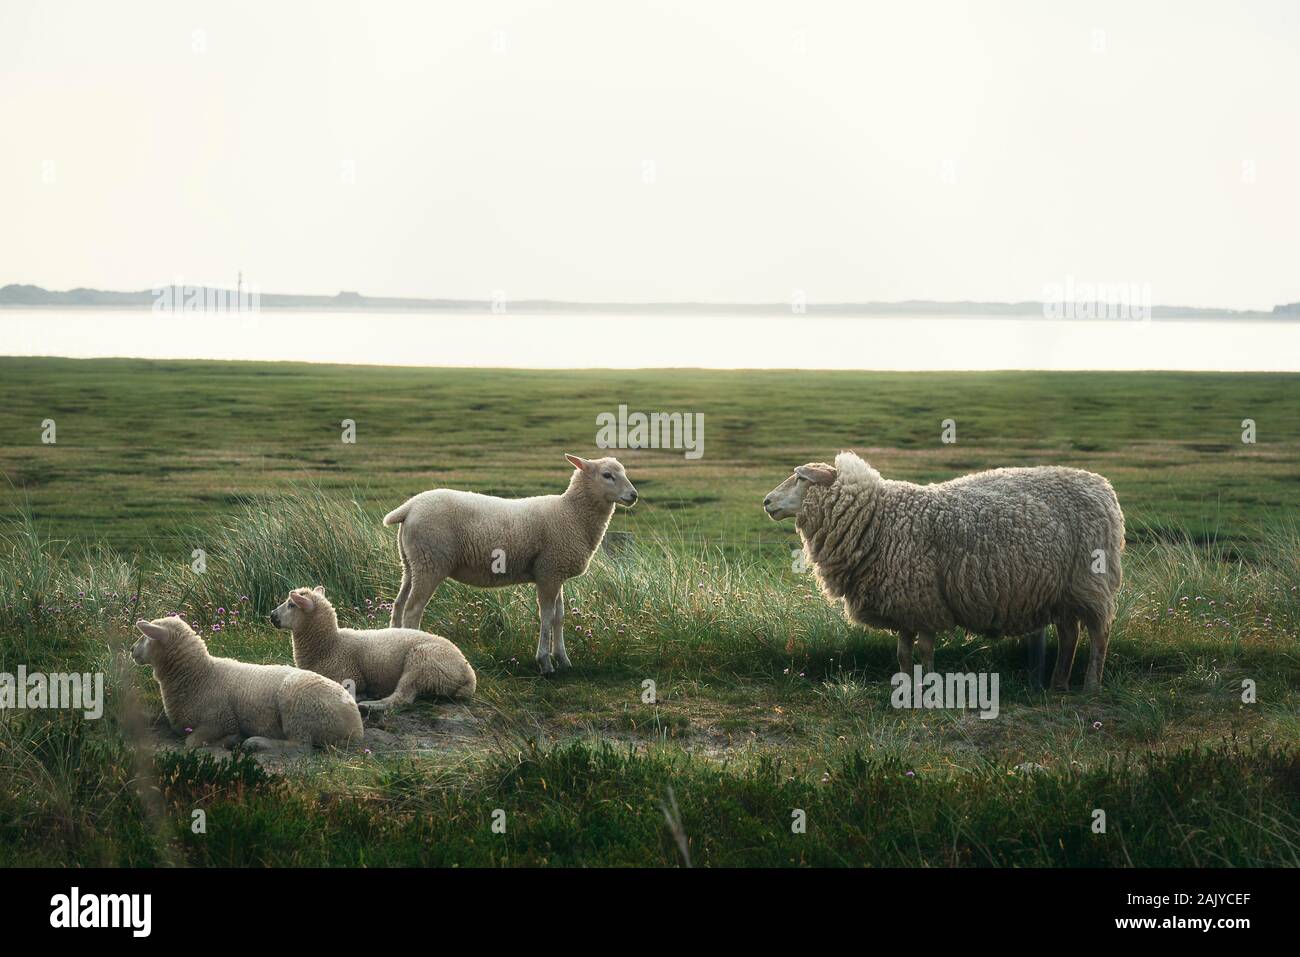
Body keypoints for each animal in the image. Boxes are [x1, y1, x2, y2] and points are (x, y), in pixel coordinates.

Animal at [130, 616, 363, 751]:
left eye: (145, 636)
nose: (132, 650)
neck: (201, 675)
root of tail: (356, 728)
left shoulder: (219, 720)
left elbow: (192, 743)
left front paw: (231, 740)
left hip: (297, 707)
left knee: (300, 745)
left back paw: (257, 743)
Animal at [270, 585, 476, 710]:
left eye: (291, 604)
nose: (271, 615)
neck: (330, 645)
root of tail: (468, 674)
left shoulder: (346, 674)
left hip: (423, 663)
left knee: (402, 698)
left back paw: (370, 704)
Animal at [383, 453, 637, 674]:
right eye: (607, 475)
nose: (633, 495)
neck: (572, 513)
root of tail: (410, 507)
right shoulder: (548, 571)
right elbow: (546, 616)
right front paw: (545, 662)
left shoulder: (556, 572)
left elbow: (559, 617)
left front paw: (563, 659)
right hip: (431, 562)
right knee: (412, 610)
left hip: (412, 563)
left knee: (398, 604)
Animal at [763, 451, 1124, 692]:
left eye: (800, 478)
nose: (766, 501)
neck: (878, 518)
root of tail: (1102, 485)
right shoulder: (904, 602)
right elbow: (903, 653)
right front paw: (905, 686)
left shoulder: (923, 601)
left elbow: (924, 650)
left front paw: (928, 686)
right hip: (1063, 590)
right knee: (1069, 634)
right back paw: (1058, 683)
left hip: (1090, 582)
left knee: (1099, 634)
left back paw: (1091, 686)